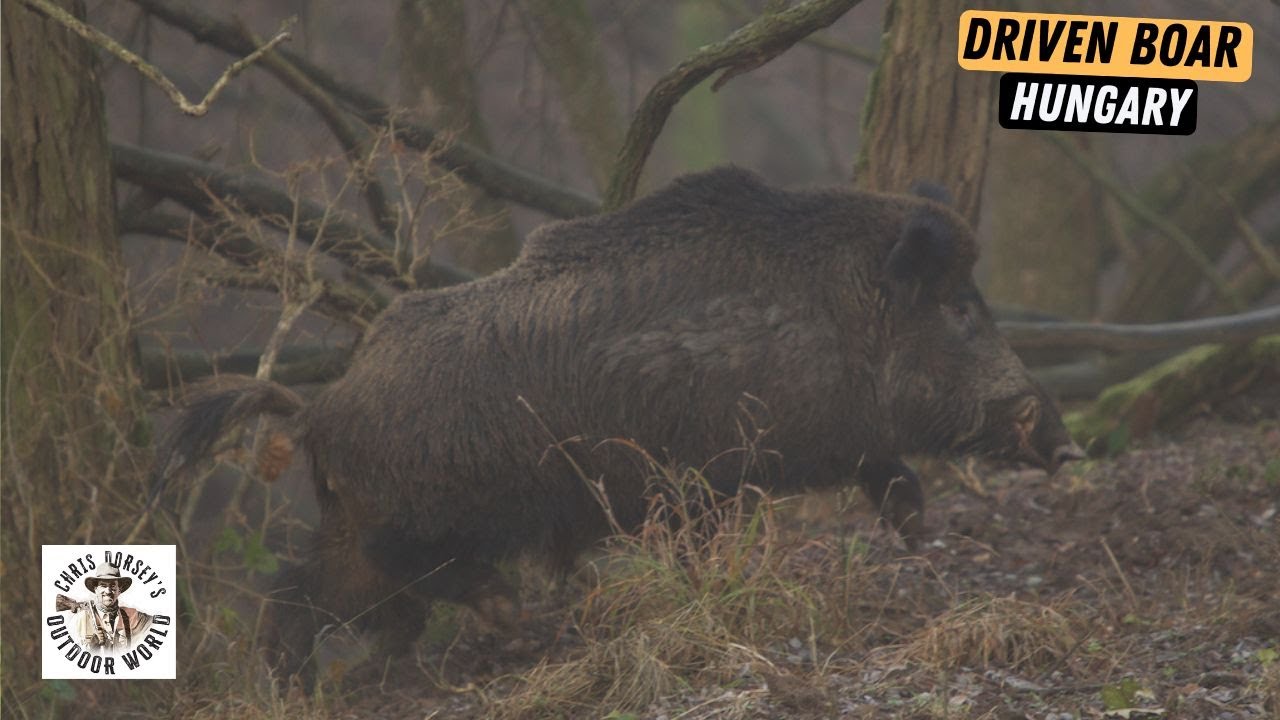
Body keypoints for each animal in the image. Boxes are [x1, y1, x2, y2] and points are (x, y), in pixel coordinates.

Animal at [153, 167, 1082, 675]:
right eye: (960, 309)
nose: (1066, 442)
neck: (833, 313)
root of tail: (322, 407)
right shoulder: (709, 467)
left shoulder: (818, 443)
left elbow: (886, 466)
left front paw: (916, 531)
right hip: (416, 514)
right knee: (392, 569)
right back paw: (509, 615)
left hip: (355, 532)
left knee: (297, 591)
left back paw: (304, 682)